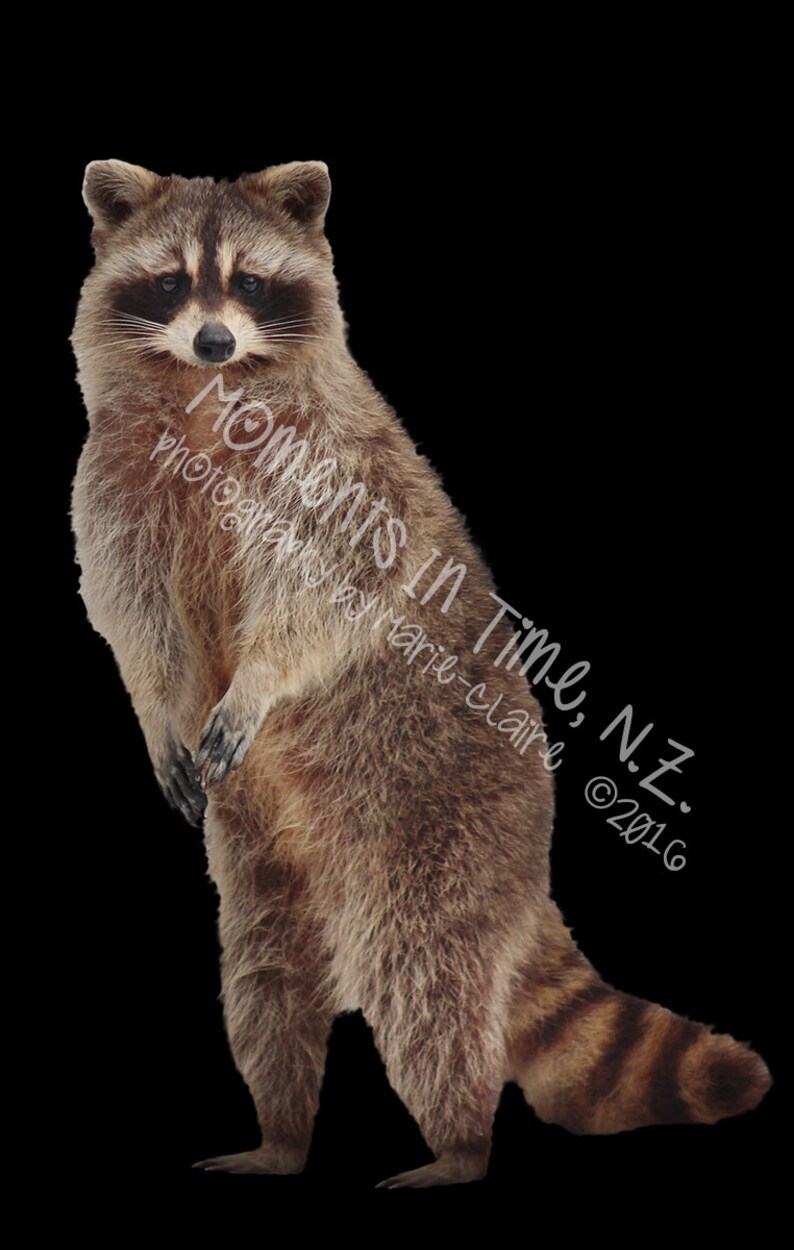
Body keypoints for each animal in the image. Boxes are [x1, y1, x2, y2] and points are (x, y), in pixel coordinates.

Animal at [70, 160, 771, 1187]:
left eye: (248, 283)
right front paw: (159, 708)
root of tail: (529, 873)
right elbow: (135, 614)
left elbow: (337, 585)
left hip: (439, 828)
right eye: (170, 283)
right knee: (266, 979)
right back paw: (282, 1135)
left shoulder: (337, 467)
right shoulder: (114, 482)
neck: (211, 389)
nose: (211, 338)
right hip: (264, 859)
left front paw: (260, 678)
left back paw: (461, 1146)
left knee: (427, 978)